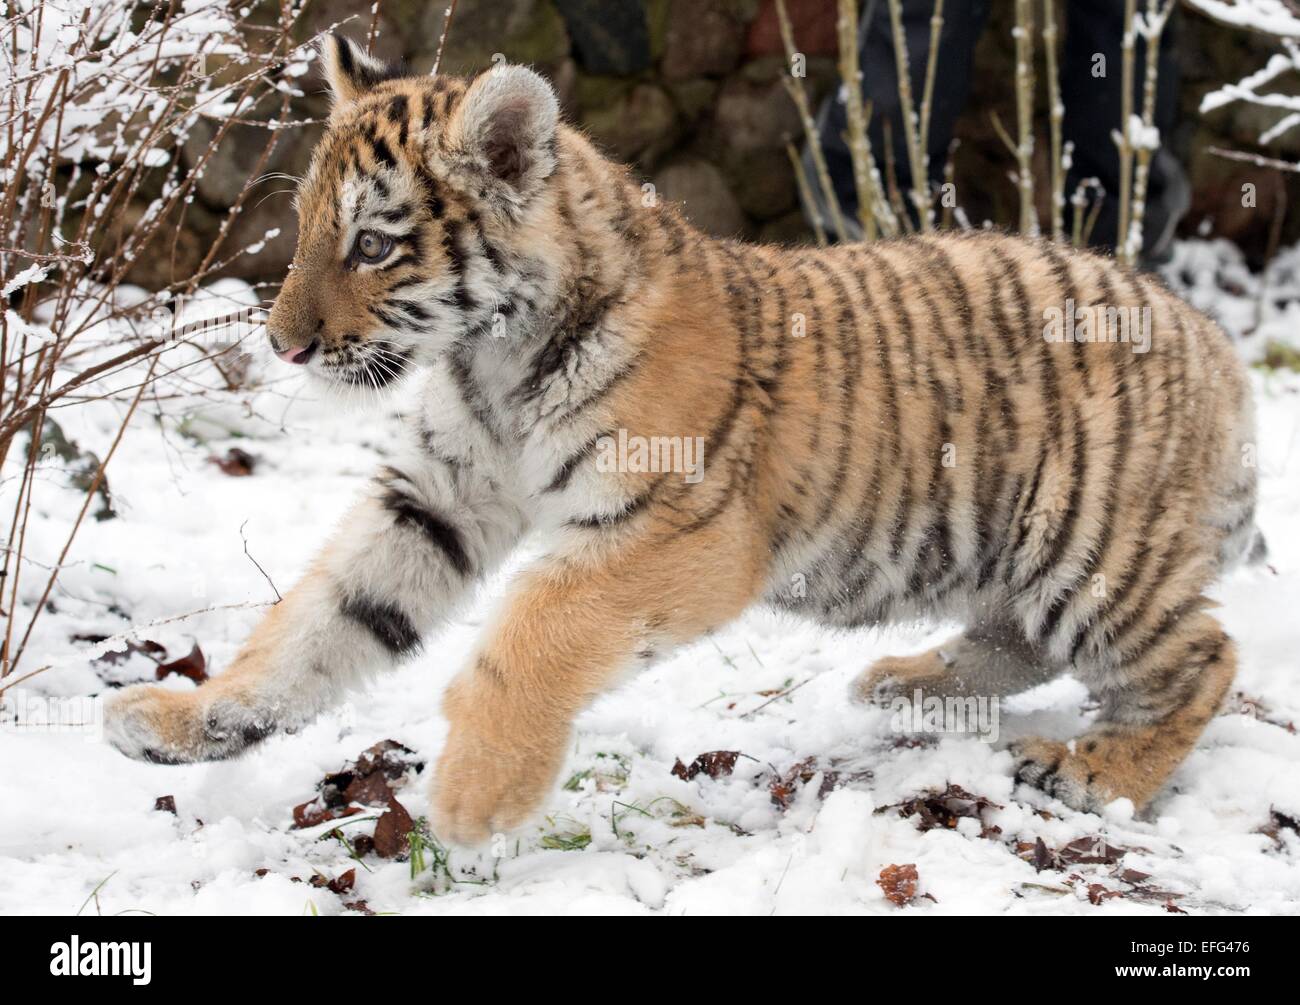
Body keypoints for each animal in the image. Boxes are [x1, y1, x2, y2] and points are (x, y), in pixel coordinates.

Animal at [104, 35, 1261, 844]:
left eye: (374, 246)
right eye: (306, 229)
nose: (281, 342)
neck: (491, 360)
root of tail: (1212, 339)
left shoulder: (678, 529)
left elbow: (537, 633)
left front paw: (475, 800)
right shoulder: (432, 497)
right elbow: (318, 620)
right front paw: (190, 721)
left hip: (1088, 546)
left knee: (1203, 654)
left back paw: (1096, 773)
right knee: (1024, 637)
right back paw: (905, 687)